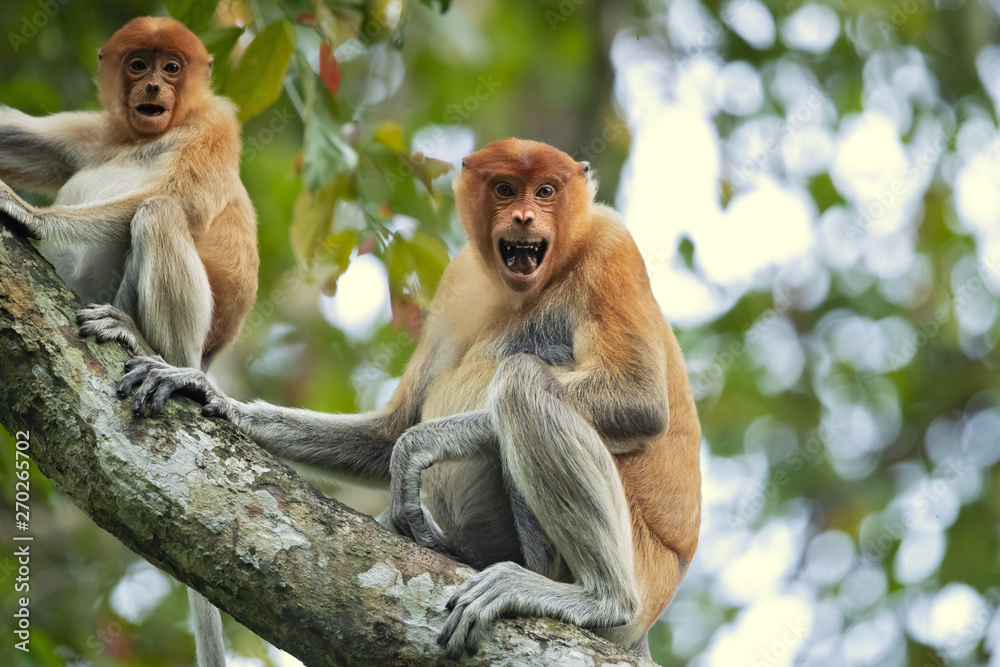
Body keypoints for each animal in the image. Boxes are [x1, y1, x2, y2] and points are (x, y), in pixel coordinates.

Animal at [0, 17, 259, 667]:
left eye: (172, 67)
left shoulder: (214, 124)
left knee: (158, 212)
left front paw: (29, 217)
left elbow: (172, 197)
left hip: (189, 342)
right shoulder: (95, 133)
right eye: (138, 64)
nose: (152, 89)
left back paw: (145, 346)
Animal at [116, 138, 701, 660]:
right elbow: (388, 430)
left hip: (643, 568)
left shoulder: (611, 248)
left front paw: (418, 448)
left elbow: (640, 400)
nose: (525, 219)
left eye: (547, 191)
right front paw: (206, 391)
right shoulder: (460, 277)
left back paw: (598, 598)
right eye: (505, 189)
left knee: (522, 380)